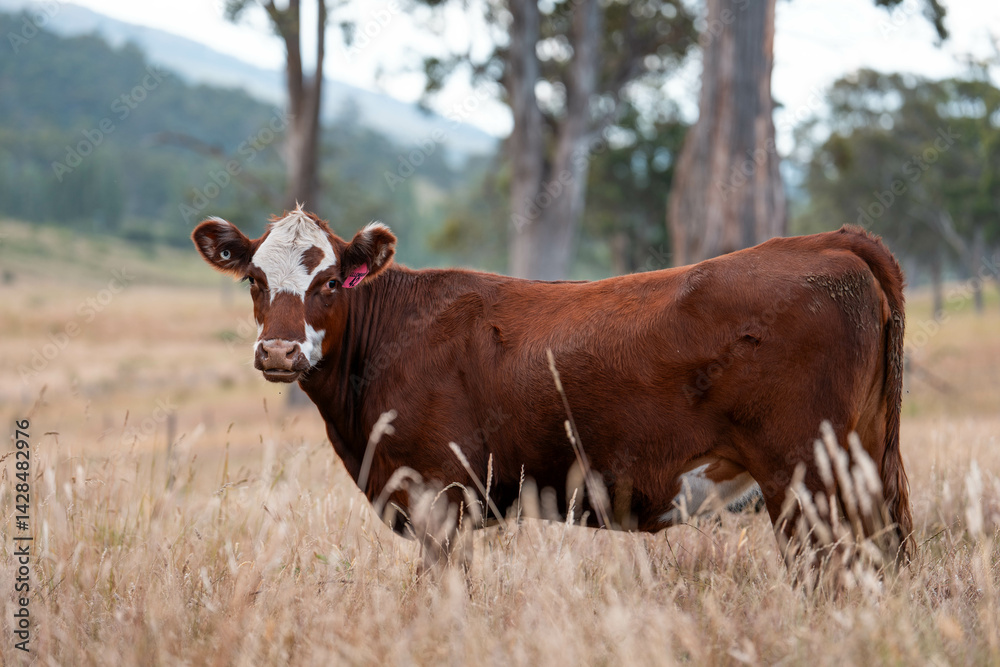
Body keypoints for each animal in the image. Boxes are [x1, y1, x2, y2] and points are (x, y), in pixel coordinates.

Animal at [192, 207, 911, 566]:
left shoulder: (437, 495)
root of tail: (828, 241)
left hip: (805, 476)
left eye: (331, 281)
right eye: (254, 278)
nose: (279, 351)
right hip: (865, 466)